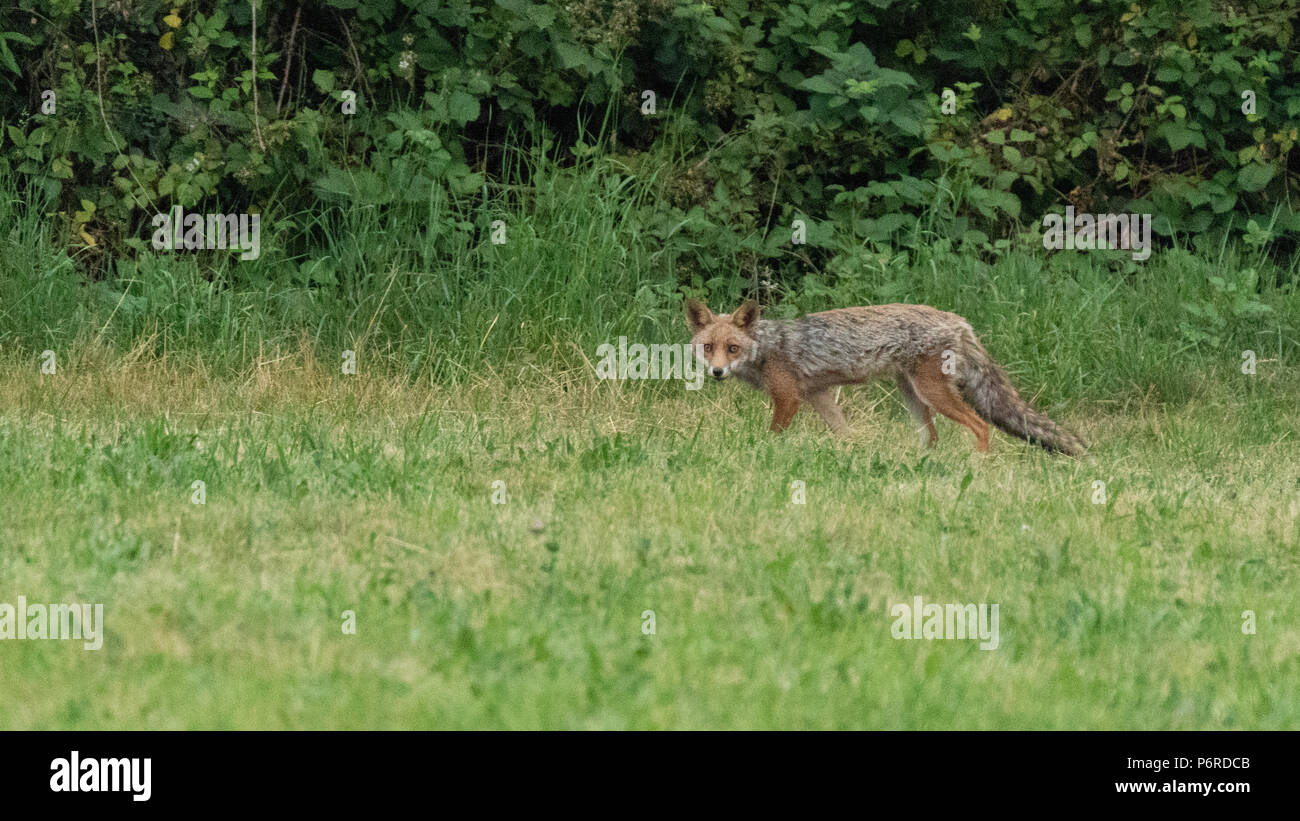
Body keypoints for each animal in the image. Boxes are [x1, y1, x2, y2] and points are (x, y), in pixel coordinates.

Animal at [684, 299, 1086, 456]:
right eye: (709, 348)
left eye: (732, 348)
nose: (717, 372)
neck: (767, 346)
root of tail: (959, 320)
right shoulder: (818, 394)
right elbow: (844, 433)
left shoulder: (789, 398)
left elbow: (772, 436)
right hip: (914, 397)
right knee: (933, 438)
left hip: (932, 392)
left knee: (980, 425)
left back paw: (979, 464)